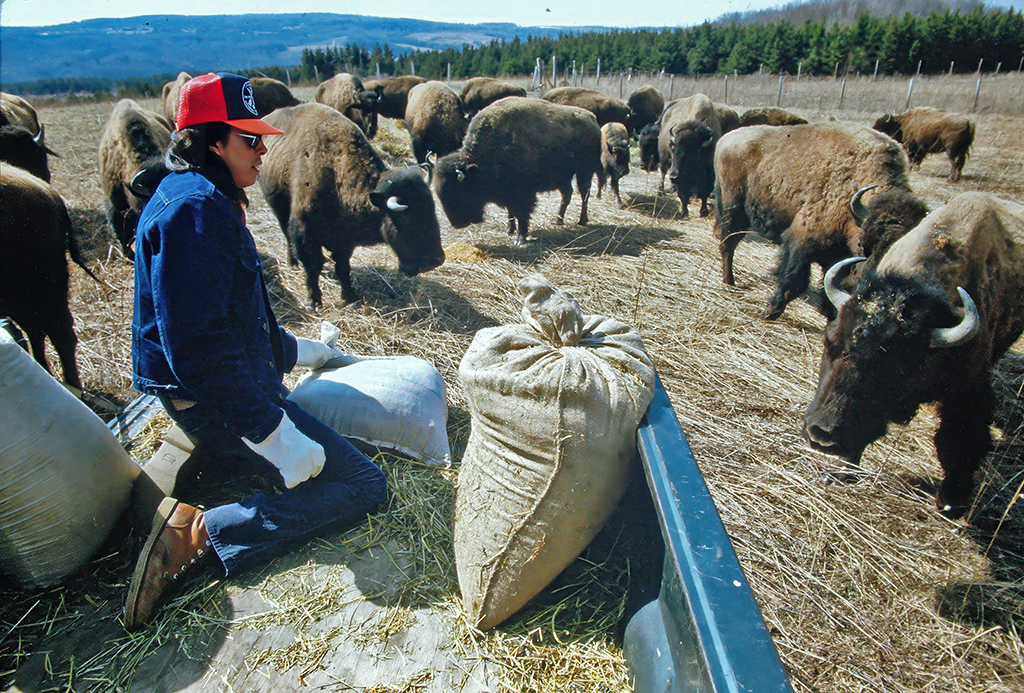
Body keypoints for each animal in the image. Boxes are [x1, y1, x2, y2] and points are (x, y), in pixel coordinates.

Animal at [260, 103, 444, 308]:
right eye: (407, 220)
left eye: (432, 210)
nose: (436, 260)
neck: (335, 173)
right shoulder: (305, 233)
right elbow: (312, 267)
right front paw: (313, 302)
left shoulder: (344, 241)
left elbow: (343, 267)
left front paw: (350, 296)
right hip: (278, 207)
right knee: (286, 234)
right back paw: (293, 263)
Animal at [432, 97, 602, 245]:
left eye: (461, 192)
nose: (457, 224)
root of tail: (592, 119)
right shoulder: (509, 193)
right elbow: (511, 213)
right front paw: (509, 230)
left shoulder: (523, 194)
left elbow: (521, 214)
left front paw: (520, 239)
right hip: (563, 177)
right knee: (567, 194)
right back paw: (557, 220)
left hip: (584, 172)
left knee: (584, 195)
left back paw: (581, 220)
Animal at [713, 122, 923, 320]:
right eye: (861, 244)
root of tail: (726, 138)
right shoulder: (801, 240)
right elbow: (795, 281)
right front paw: (769, 312)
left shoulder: (837, 256)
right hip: (733, 208)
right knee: (728, 243)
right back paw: (729, 281)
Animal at [805, 192, 1024, 518]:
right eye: (830, 342)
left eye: (894, 368)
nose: (822, 434)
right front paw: (842, 472)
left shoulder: (967, 387)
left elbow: (958, 441)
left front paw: (950, 503)